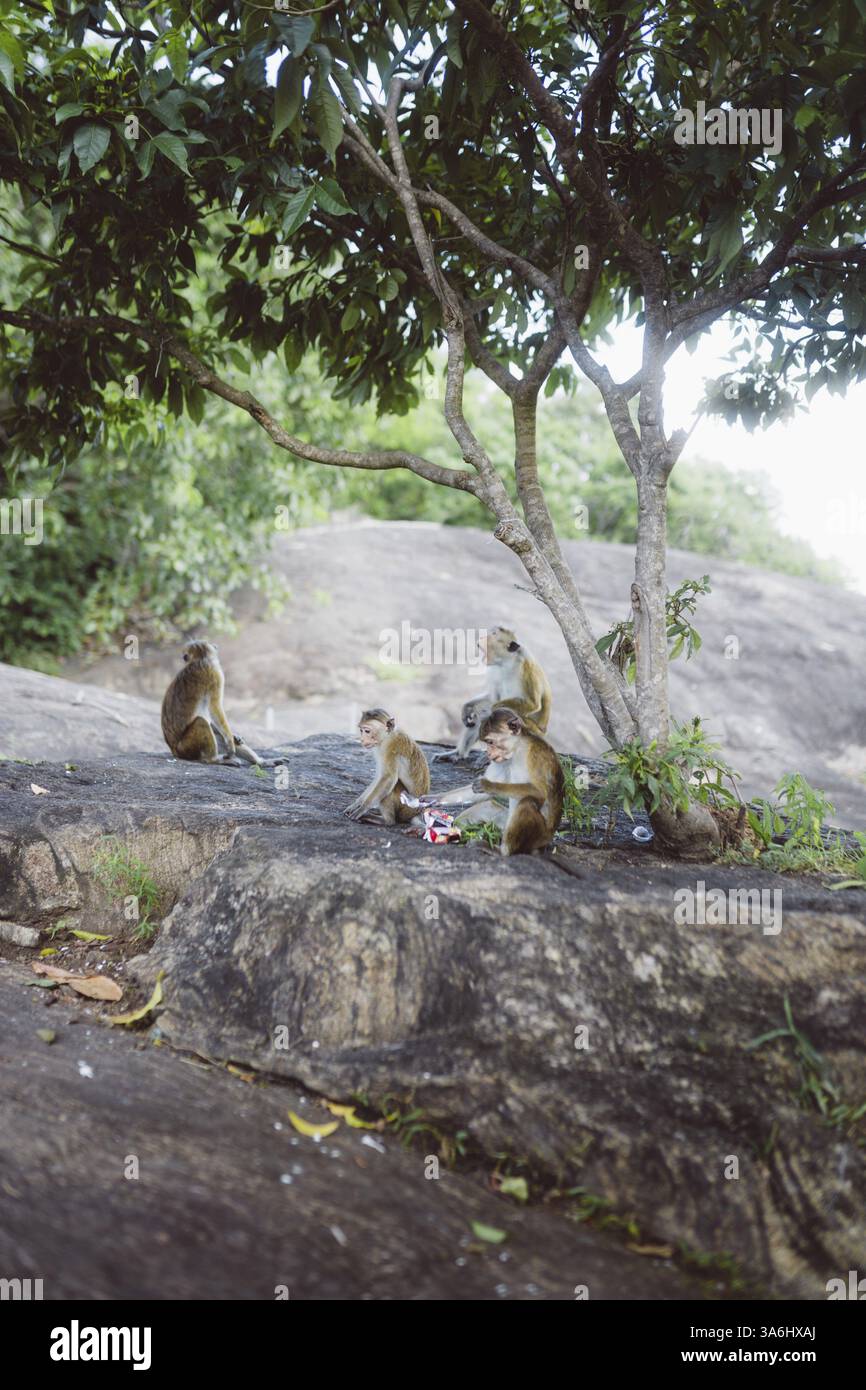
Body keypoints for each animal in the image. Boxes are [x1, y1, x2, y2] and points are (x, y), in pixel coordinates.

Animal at [436, 626, 552, 762]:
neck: (507, 663)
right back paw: (459, 754)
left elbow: (532, 704)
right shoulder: (494, 670)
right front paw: (468, 707)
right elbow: (492, 698)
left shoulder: (526, 668)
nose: (481, 638)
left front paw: (494, 709)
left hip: (533, 732)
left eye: (492, 635)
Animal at [453, 707, 564, 857]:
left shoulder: (536, 754)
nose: (488, 753)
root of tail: (546, 842)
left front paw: (489, 785)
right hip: (505, 822)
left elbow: (540, 792)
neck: (518, 748)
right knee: (488, 806)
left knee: (527, 803)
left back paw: (502, 852)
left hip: (538, 837)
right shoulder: (503, 760)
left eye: (490, 742)